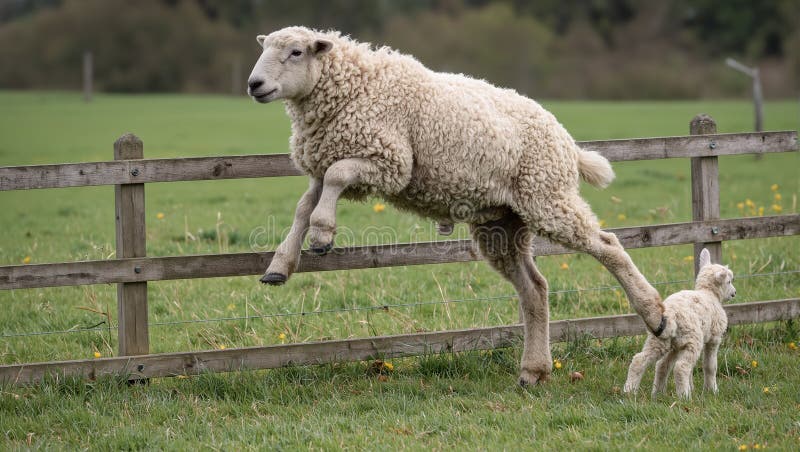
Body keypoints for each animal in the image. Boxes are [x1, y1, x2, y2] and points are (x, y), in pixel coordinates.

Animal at [247, 26, 667, 386]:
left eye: (296, 52)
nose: (254, 84)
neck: (355, 87)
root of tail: (567, 142)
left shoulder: (390, 162)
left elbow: (334, 180)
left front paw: (322, 235)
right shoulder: (328, 162)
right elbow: (304, 205)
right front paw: (281, 264)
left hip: (547, 196)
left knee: (608, 246)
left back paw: (655, 315)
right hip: (502, 223)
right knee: (535, 289)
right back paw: (533, 371)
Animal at [623, 248, 734, 398]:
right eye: (729, 281)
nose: (734, 293)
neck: (708, 293)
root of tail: (672, 315)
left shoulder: (676, 346)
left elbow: (663, 365)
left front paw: (692, 387)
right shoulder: (714, 338)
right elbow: (710, 366)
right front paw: (712, 390)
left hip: (660, 340)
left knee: (642, 360)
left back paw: (637, 391)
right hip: (691, 340)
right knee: (681, 367)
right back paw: (684, 397)